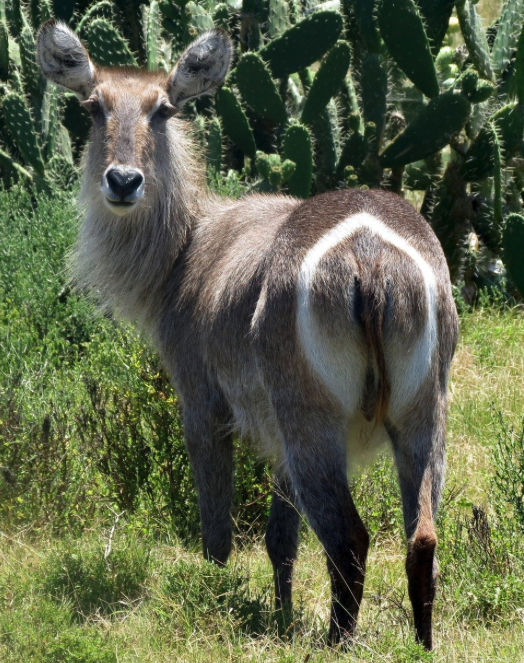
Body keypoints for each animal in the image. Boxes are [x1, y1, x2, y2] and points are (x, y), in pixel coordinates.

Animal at [37, 21, 458, 650]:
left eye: (163, 109)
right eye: (93, 107)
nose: (123, 180)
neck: (185, 252)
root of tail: (370, 255)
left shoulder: (201, 402)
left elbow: (219, 533)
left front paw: (218, 602)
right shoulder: (276, 440)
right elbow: (280, 540)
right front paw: (281, 618)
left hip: (311, 417)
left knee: (349, 539)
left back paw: (333, 644)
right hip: (423, 409)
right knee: (422, 539)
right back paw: (419, 647)